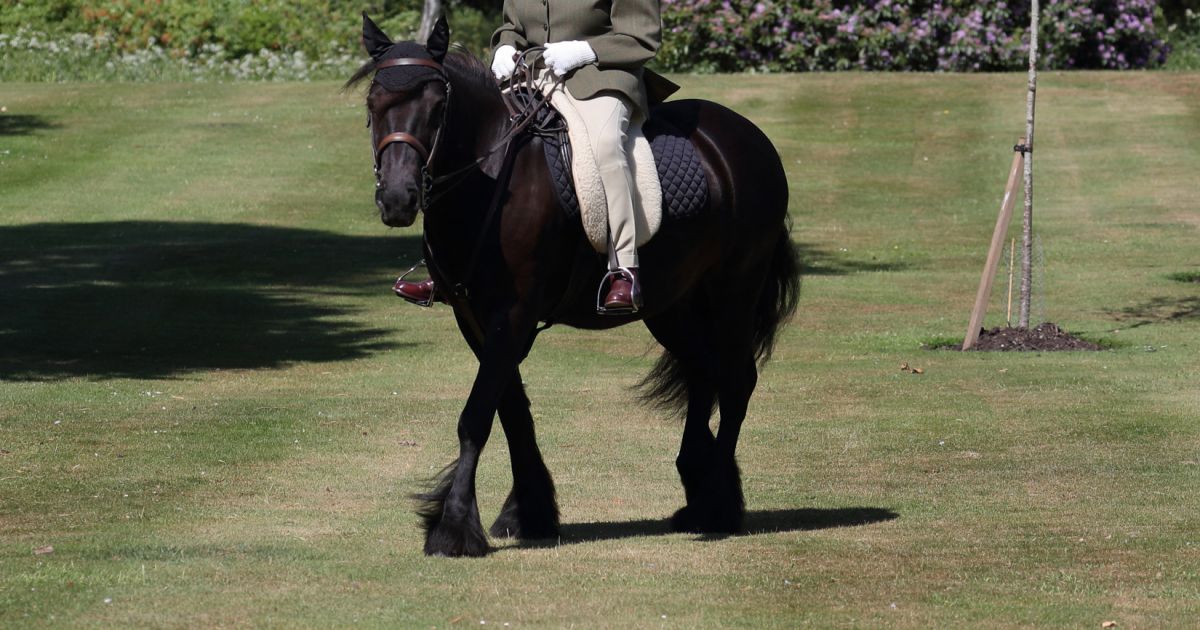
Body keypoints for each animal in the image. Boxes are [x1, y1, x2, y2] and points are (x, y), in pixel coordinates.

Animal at [348, 15, 799, 557]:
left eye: (438, 107)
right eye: (374, 104)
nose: (398, 199)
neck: (491, 177)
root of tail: (745, 137)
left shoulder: (513, 315)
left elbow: (477, 416)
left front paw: (453, 527)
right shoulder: (474, 317)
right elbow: (512, 411)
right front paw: (528, 512)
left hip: (733, 290)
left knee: (734, 381)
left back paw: (718, 505)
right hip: (673, 305)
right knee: (701, 372)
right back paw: (697, 490)